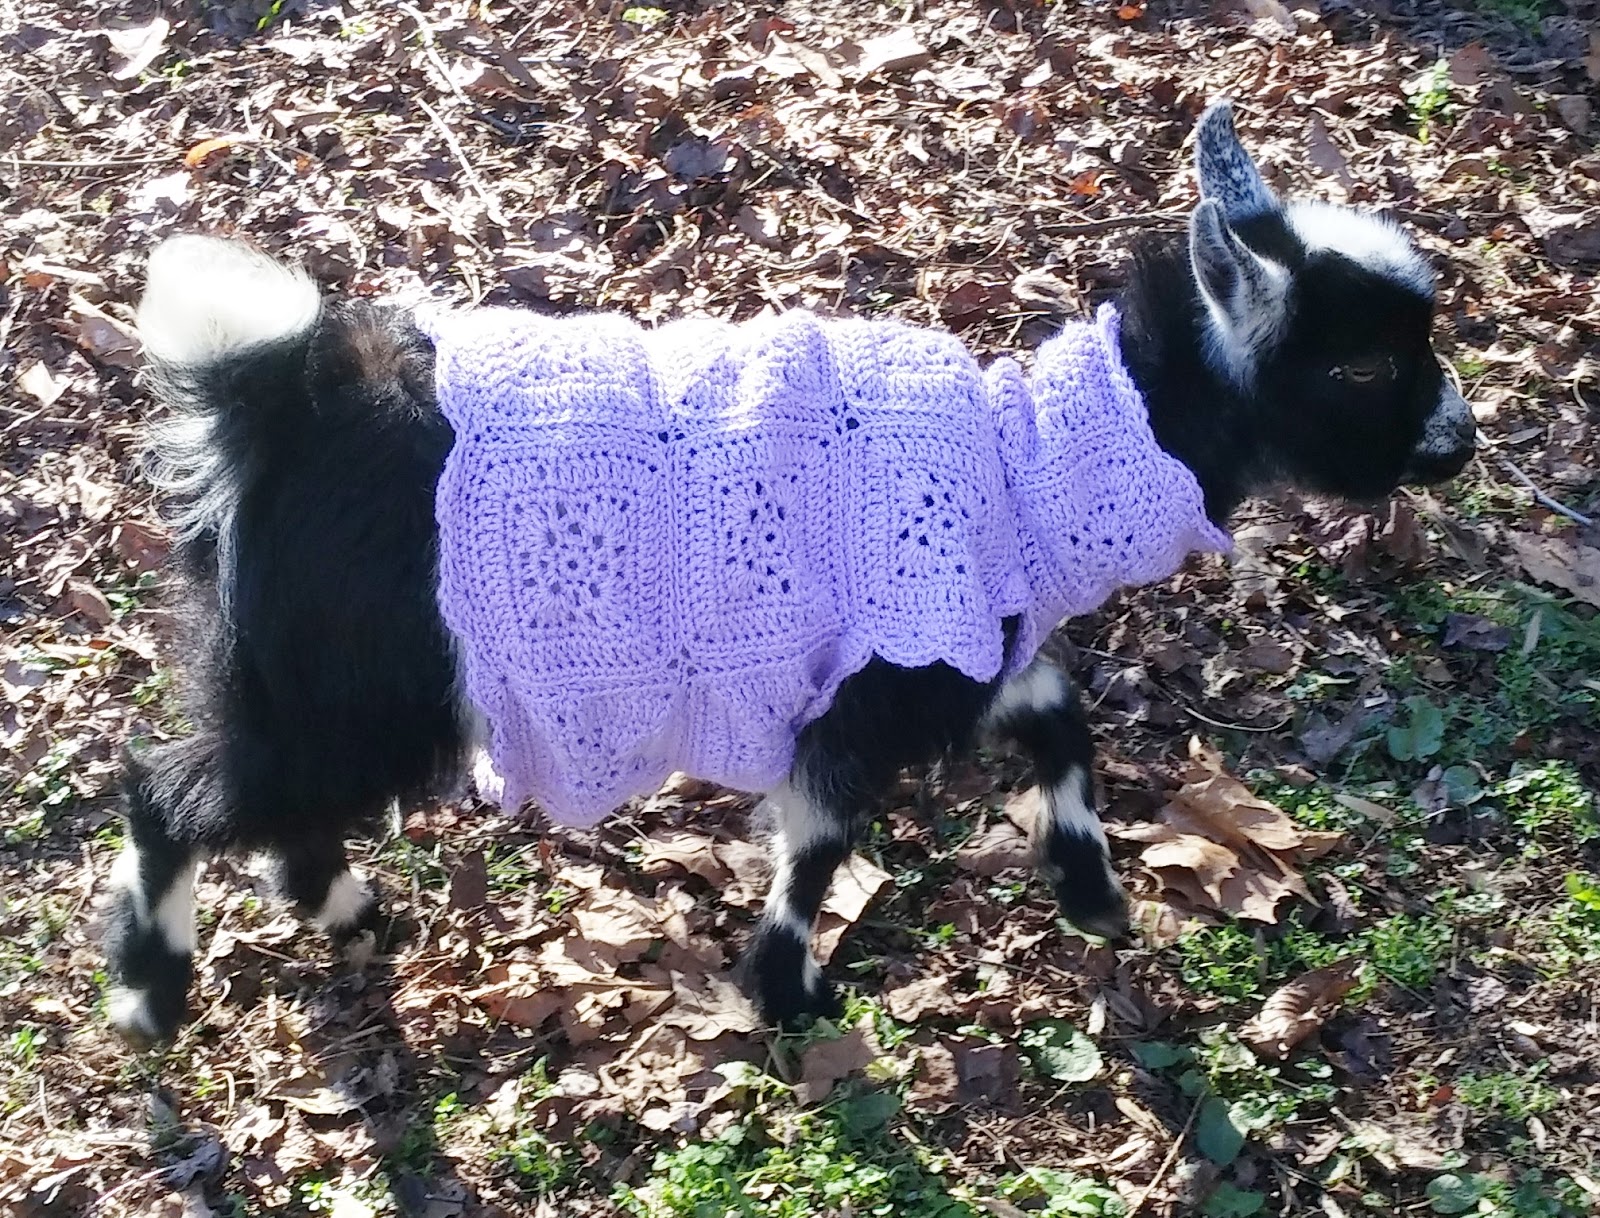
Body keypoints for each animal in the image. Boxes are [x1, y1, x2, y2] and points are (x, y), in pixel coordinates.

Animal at [103, 102, 1475, 1045]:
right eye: (1358, 366)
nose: (1456, 442)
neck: (1029, 467)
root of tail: (264, 405)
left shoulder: (961, 649)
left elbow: (1058, 723)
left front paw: (1088, 890)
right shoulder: (870, 684)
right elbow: (820, 845)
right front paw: (786, 993)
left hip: (304, 678)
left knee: (268, 803)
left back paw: (340, 911)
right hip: (362, 686)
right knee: (170, 794)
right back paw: (150, 993)